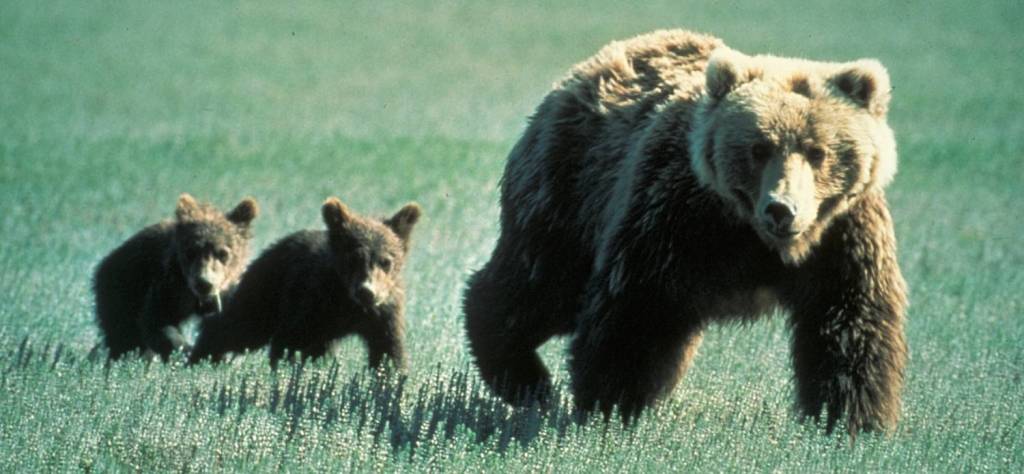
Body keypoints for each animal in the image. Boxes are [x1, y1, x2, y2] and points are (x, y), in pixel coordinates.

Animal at [93, 193, 259, 360]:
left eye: (223, 253)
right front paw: (186, 351)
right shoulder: (170, 286)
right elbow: (157, 321)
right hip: (122, 289)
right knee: (124, 337)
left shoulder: (229, 292)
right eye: (191, 251)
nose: (204, 283)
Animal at [188, 197, 422, 370]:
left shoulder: (384, 313)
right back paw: (201, 357)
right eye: (354, 258)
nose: (367, 291)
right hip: (267, 286)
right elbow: (290, 341)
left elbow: (388, 350)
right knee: (241, 324)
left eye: (386, 261)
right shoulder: (312, 301)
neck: (348, 303)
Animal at [463, 29, 907, 435]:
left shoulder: (844, 237)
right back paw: (525, 379)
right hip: (570, 192)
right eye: (759, 148)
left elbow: (849, 324)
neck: (758, 241)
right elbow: (638, 307)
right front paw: (610, 405)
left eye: (818, 151)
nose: (782, 208)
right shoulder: (675, 217)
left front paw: (850, 421)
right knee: (537, 285)